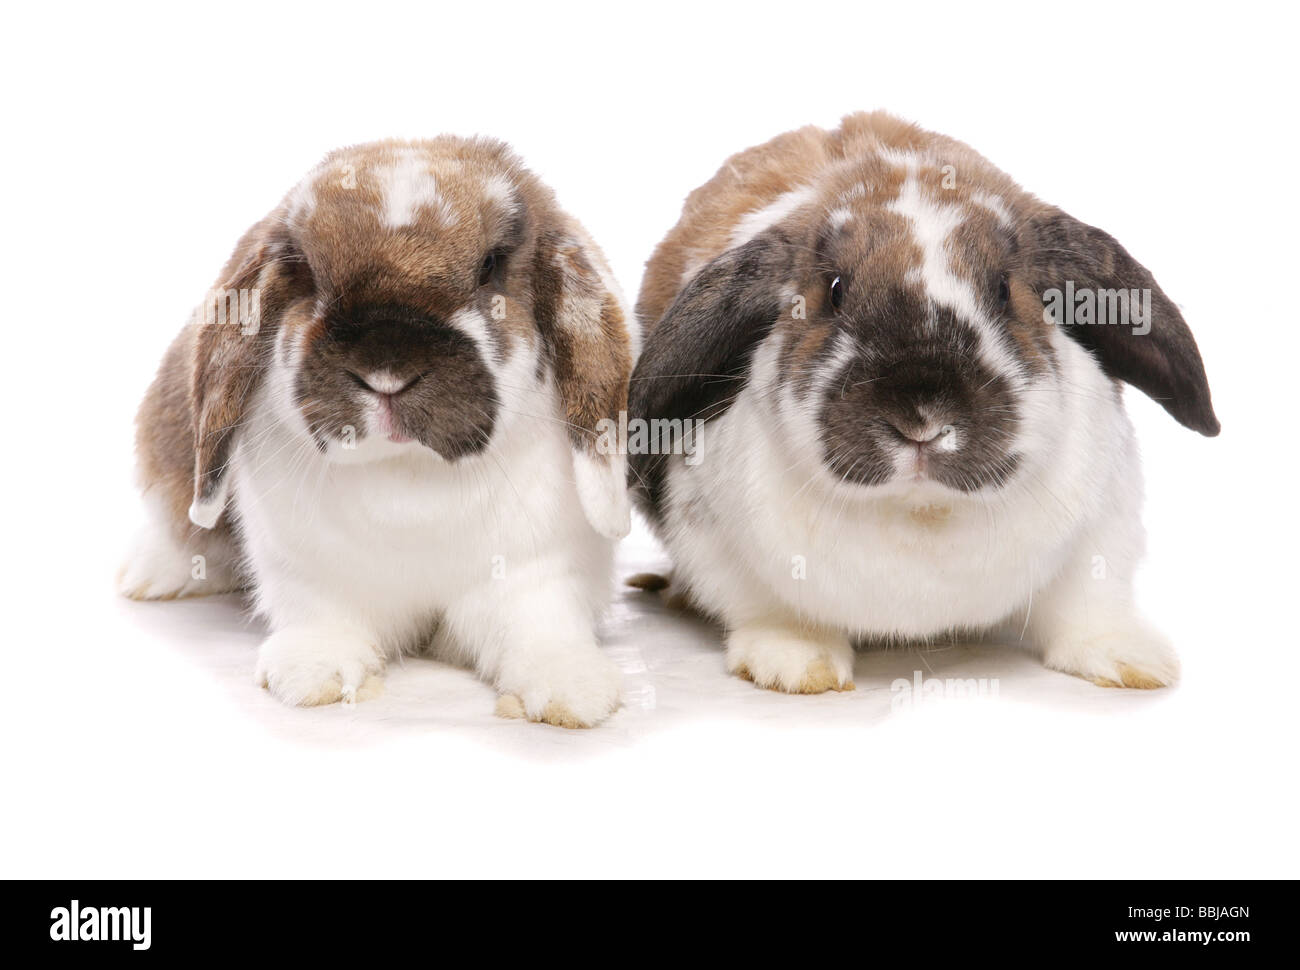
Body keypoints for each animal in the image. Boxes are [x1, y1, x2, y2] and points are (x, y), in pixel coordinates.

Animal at [118, 136, 637, 727]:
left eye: (491, 266)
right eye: (309, 275)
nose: (387, 371)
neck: (408, 473)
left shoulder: (538, 570)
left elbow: (540, 624)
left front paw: (572, 690)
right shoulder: (308, 571)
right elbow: (321, 618)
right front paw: (311, 673)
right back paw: (150, 575)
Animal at [628, 111, 1218, 695]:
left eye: (1004, 290)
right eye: (834, 291)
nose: (922, 419)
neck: (923, 510)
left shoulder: (1105, 522)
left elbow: (1090, 603)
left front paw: (1132, 660)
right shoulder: (718, 545)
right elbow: (770, 612)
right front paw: (796, 664)